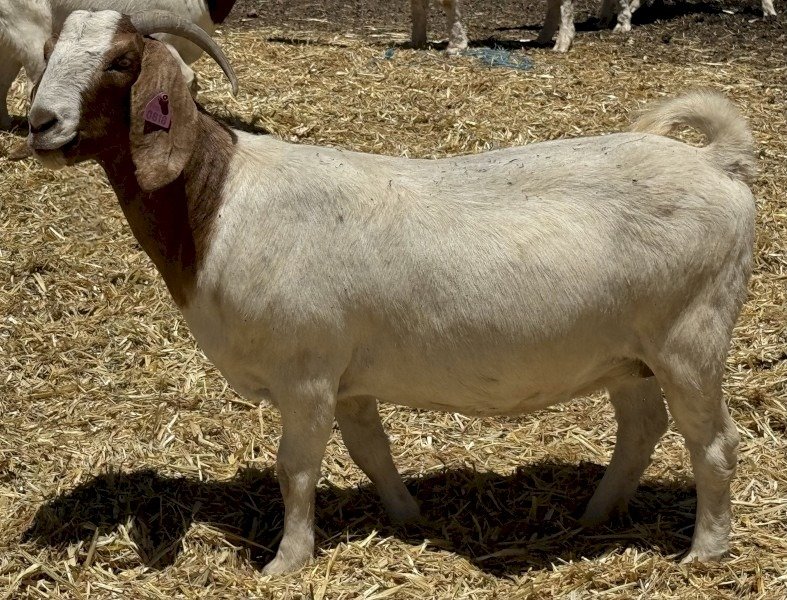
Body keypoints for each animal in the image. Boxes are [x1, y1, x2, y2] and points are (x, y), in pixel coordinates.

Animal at [29, 9, 756, 575]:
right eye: (47, 52)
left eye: (121, 61)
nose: (39, 123)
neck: (220, 202)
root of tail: (715, 164)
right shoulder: (346, 379)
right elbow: (370, 453)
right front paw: (408, 517)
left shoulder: (305, 373)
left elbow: (296, 468)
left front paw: (286, 562)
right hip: (629, 355)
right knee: (642, 428)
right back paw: (594, 515)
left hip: (689, 338)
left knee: (714, 443)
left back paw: (704, 552)